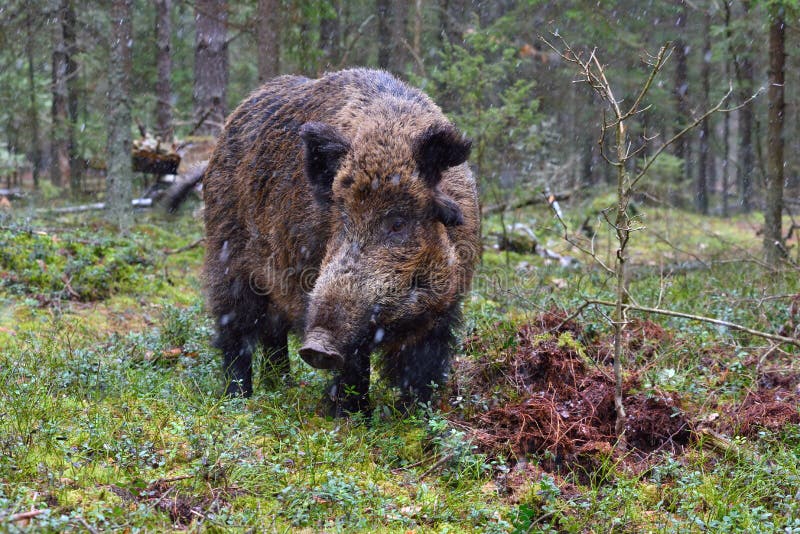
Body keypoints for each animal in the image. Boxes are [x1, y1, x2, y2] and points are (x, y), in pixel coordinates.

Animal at [174, 69, 480, 416]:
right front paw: (351, 416)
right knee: (235, 327)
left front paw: (416, 416)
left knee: (272, 332)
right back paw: (238, 400)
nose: (317, 345)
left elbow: (421, 364)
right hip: (226, 252)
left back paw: (281, 387)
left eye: (397, 223)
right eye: (341, 217)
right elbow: (354, 365)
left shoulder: (447, 304)